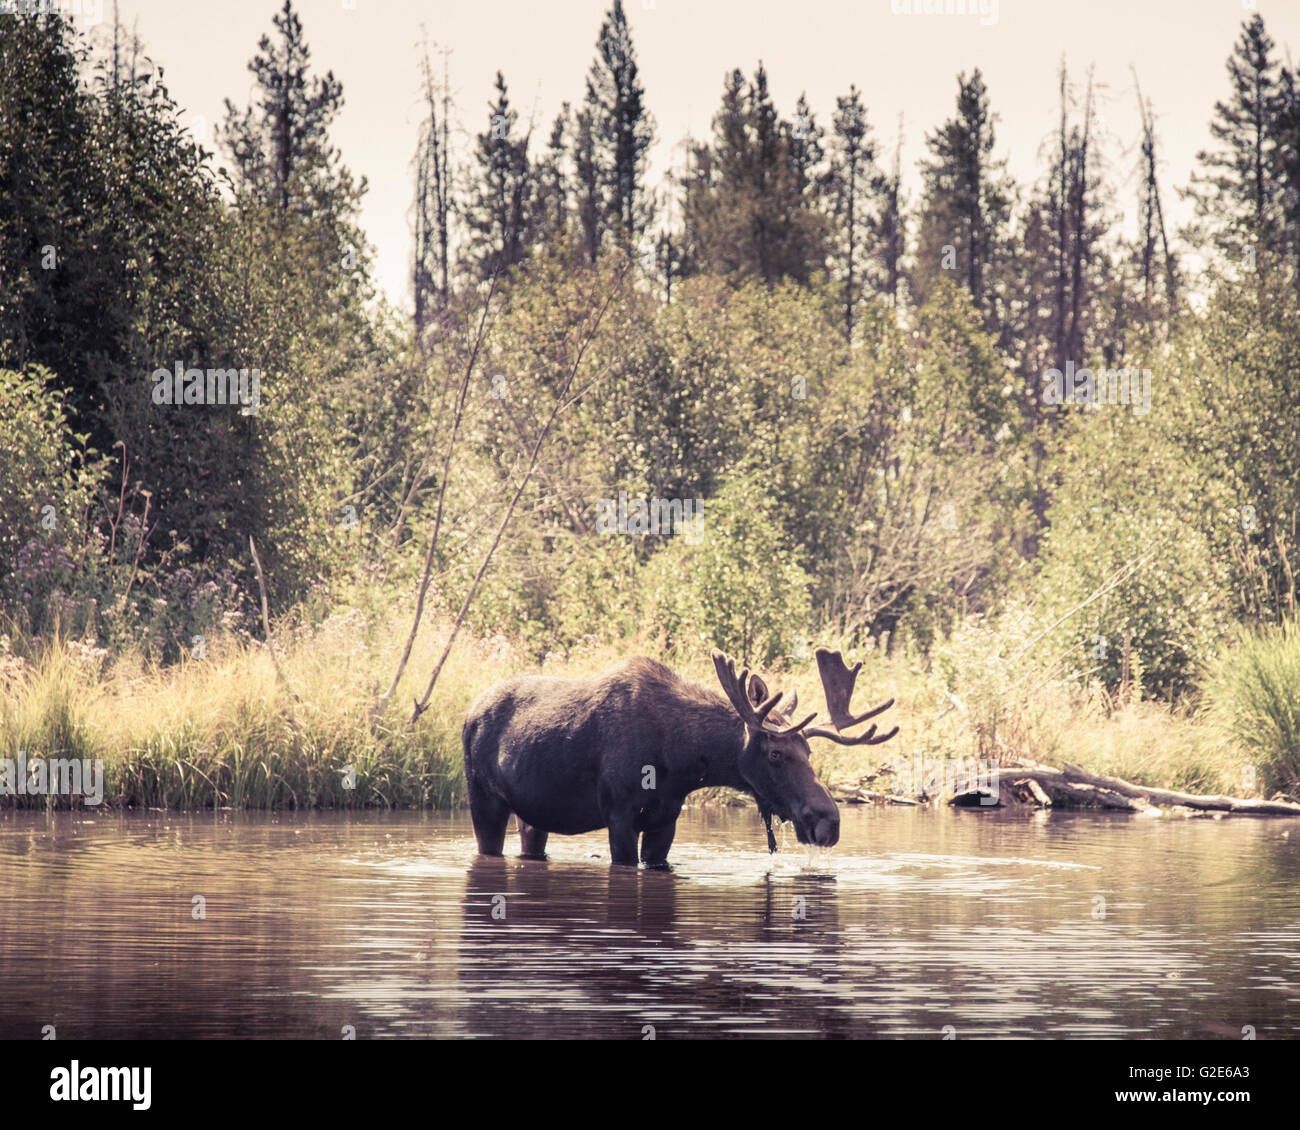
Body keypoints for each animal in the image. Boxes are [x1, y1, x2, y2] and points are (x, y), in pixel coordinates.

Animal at [460, 646, 898, 868]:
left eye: (808, 750)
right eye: (776, 753)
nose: (828, 821)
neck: (681, 761)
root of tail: (469, 713)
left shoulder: (666, 820)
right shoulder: (618, 813)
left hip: (532, 816)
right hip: (483, 799)